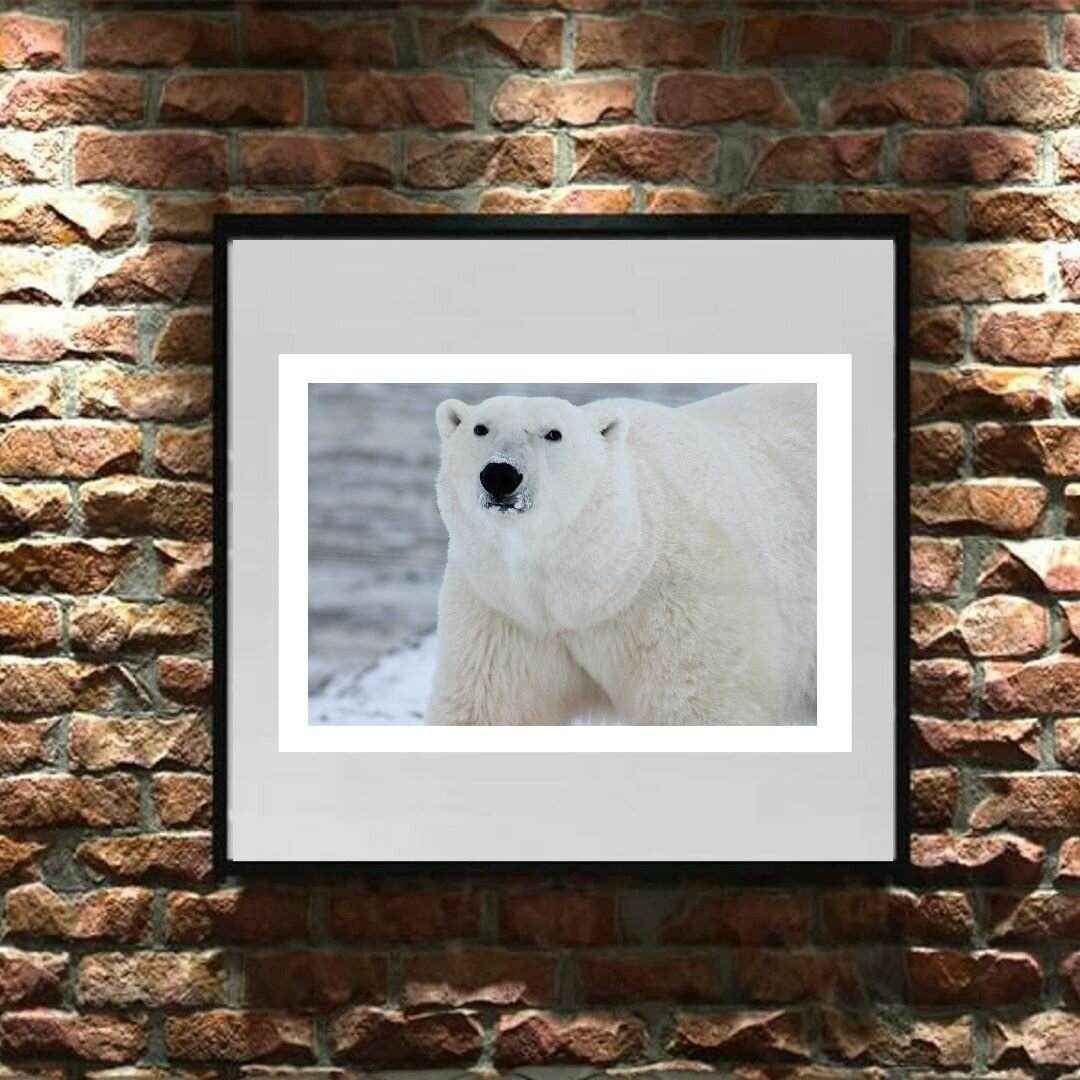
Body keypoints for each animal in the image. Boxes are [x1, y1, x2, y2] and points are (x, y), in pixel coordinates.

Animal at [426, 385, 816, 726]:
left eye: (553, 433)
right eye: (480, 428)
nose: (500, 474)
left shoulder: (682, 608)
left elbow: (699, 706)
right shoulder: (503, 614)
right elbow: (489, 708)